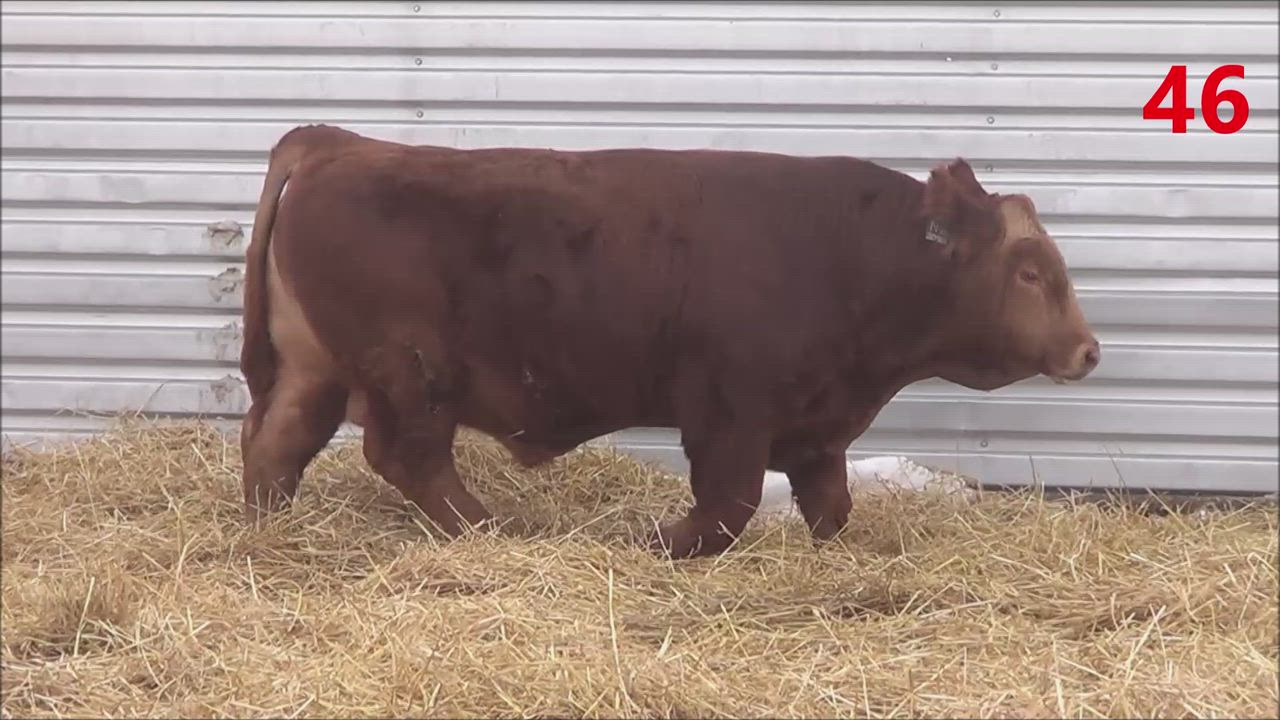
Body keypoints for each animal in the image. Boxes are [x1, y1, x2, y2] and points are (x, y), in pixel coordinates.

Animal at [238, 124, 1100, 559]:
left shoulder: (817, 425)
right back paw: (494, 530)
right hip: (412, 375)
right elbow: (728, 503)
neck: (850, 254)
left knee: (276, 442)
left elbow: (831, 503)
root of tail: (340, 144)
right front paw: (660, 540)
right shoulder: (731, 413)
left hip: (316, 369)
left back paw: (267, 526)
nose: (1088, 349)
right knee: (407, 457)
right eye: (1029, 271)